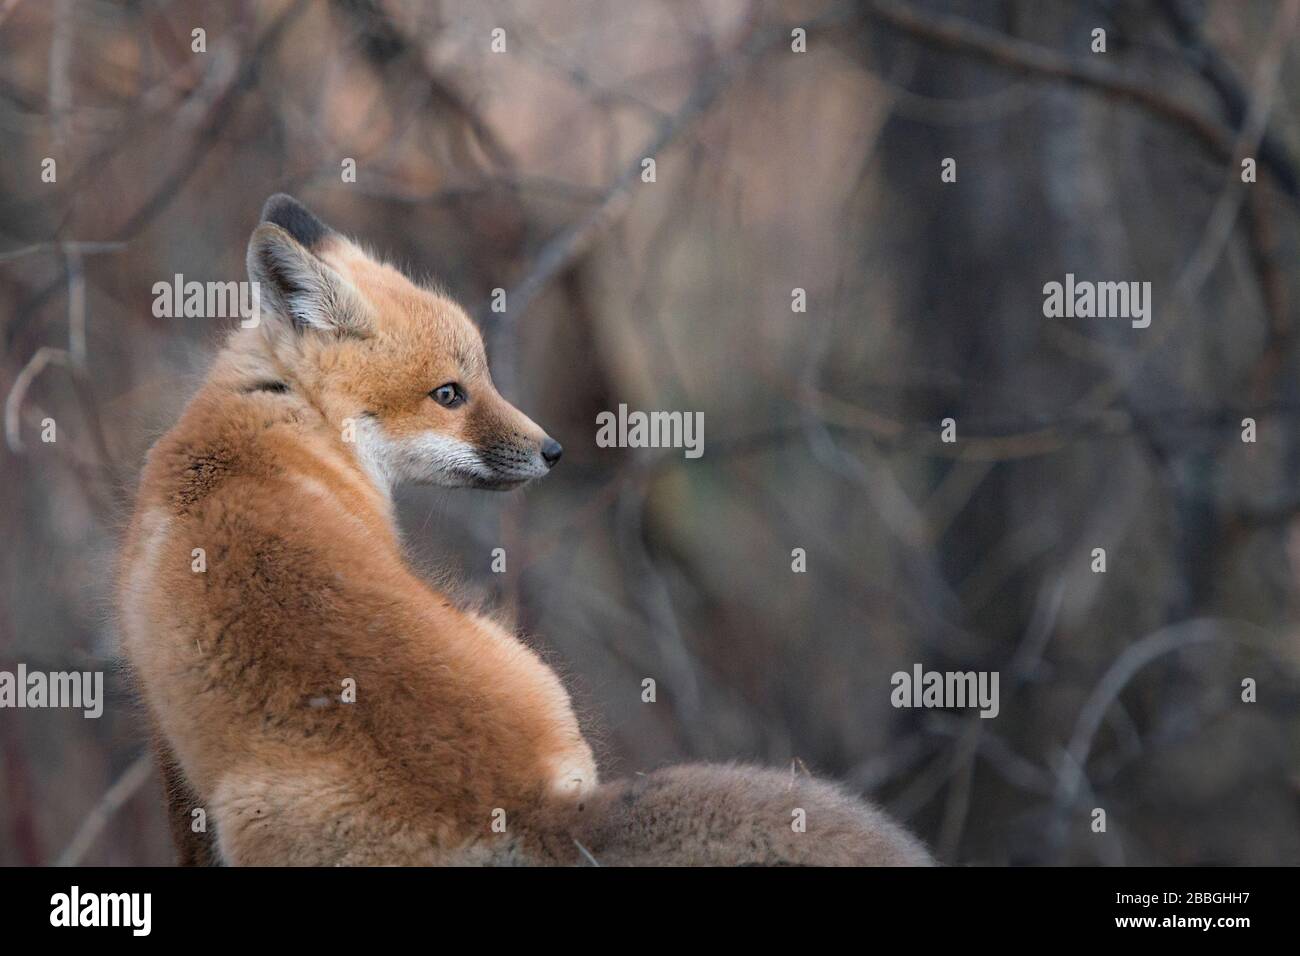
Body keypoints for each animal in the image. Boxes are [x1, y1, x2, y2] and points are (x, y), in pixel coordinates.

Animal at [117, 194, 932, 866]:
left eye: (478, 380)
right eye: (449, 394)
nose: (554, 451)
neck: (280, 418)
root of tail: (534, 808)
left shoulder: (163, 728)